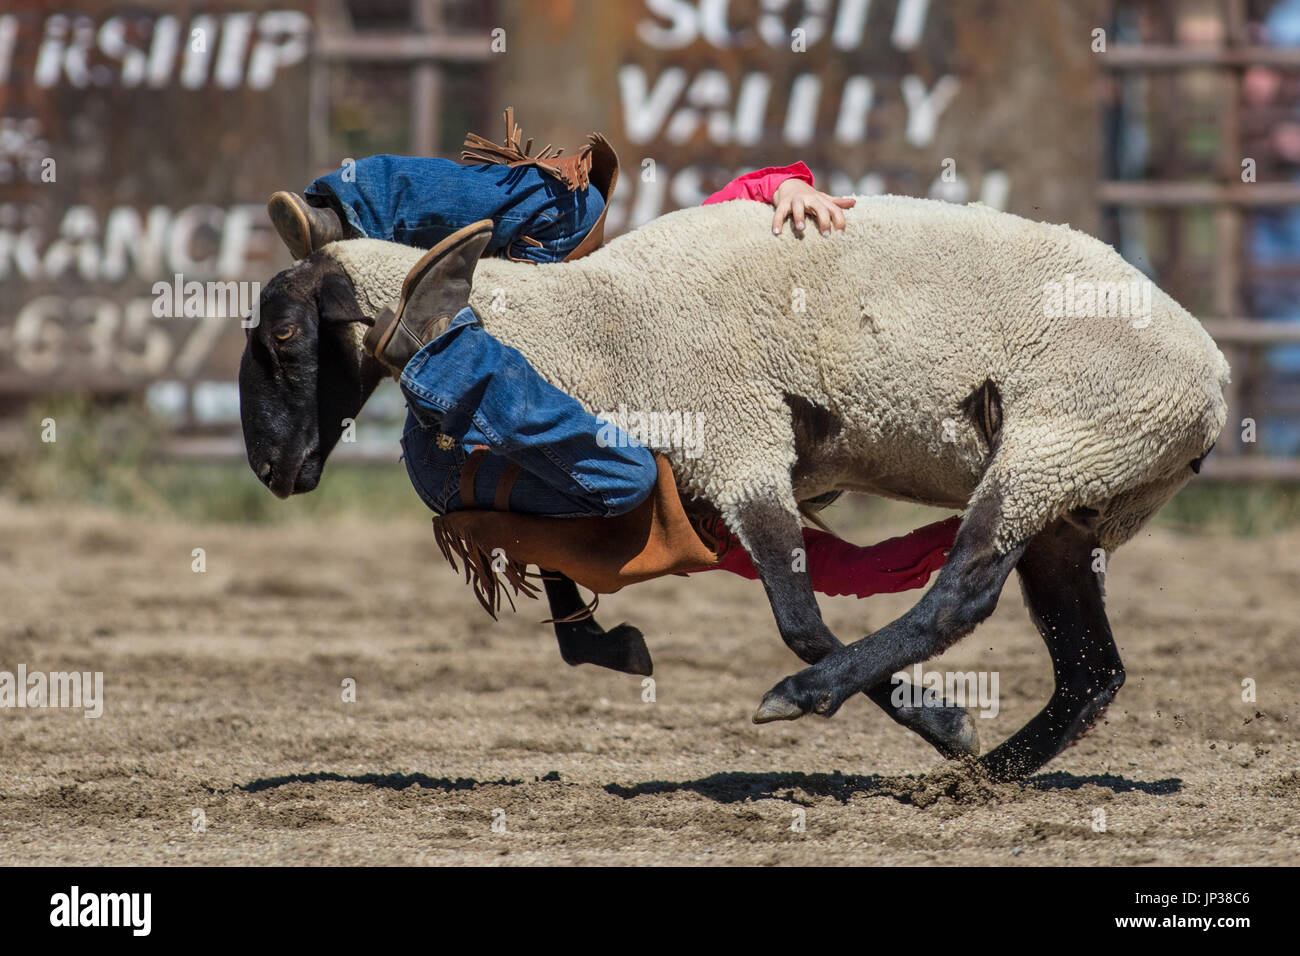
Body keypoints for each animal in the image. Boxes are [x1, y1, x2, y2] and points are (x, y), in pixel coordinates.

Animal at [241, 194, 1229, 780]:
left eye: (284, 334)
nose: (268, 470)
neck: (590, 322)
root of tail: (1214, 380)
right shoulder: (649, 465)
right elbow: (557, 561)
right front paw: (612, 647)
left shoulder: (739, 441)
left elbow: (800, 619)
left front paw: (925, 718)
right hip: (1077, 502)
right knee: (1092, 670)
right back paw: (983, 779)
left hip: (1057, 445)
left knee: (964, 595)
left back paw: (858, 716)